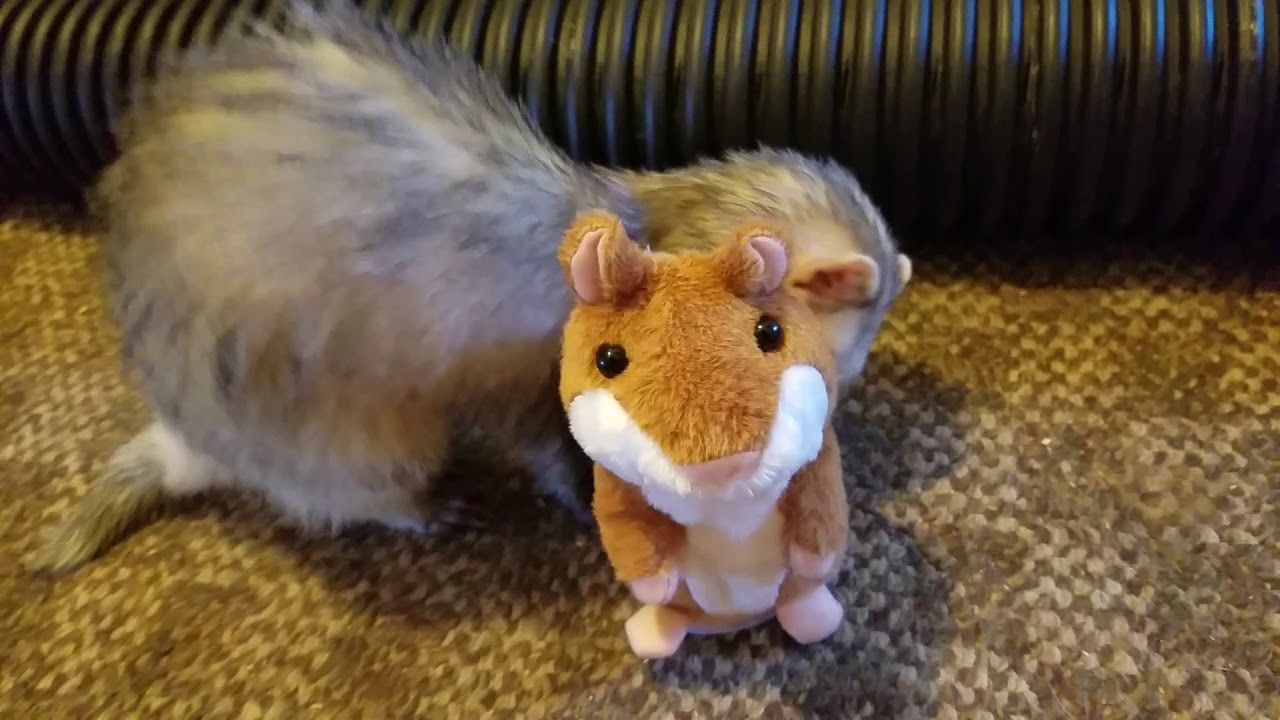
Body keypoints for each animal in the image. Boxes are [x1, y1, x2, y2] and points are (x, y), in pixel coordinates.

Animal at [30, 0, 911, 574]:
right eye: (841, 363)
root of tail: (189, 435)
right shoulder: (542, 379)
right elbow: (554, 458)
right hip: (366, 441)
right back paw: (430, 509)